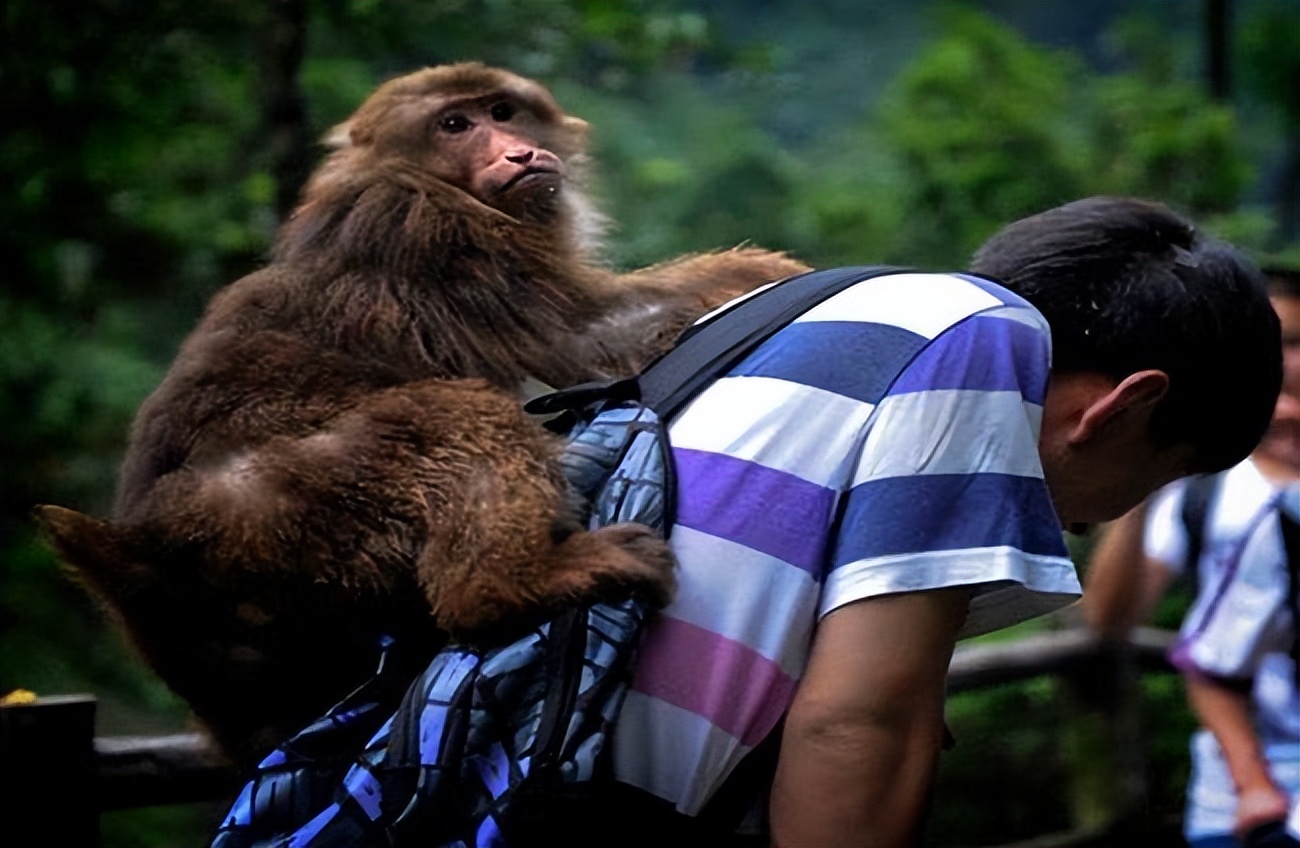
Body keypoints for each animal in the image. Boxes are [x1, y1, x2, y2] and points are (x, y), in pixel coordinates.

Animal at [34, 62, 809, 766]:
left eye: (504, 111)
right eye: (455, 124)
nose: (519, 152)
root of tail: (145, 548)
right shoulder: (428, 226)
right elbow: (592, 337)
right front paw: (786, 276)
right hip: (278, 507)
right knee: (449, 413)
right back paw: (506, 588)